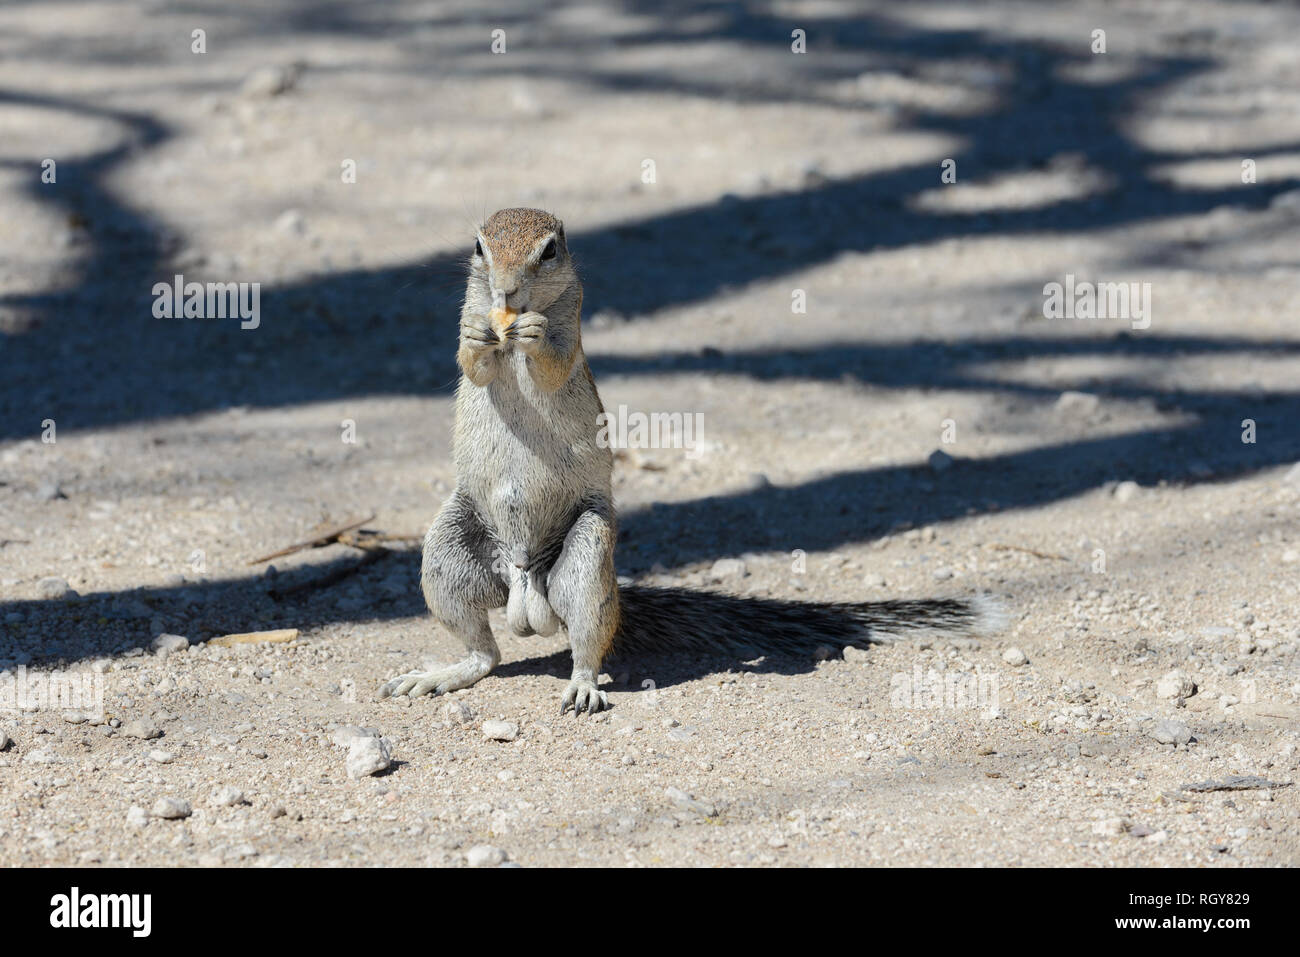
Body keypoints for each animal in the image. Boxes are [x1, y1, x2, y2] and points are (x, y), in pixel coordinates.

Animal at [379, 207, 1004, 714]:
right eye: (479, 246)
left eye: (550, 250)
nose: (507, 293)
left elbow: (553, 364)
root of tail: (527, 592)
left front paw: (532, 333)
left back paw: (581, 685)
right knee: (483, 652)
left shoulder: (571, 333)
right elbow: (470, 361)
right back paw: (440, 675)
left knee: (583, 641)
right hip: (447, 555)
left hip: (586, 556)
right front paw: (476, 333)